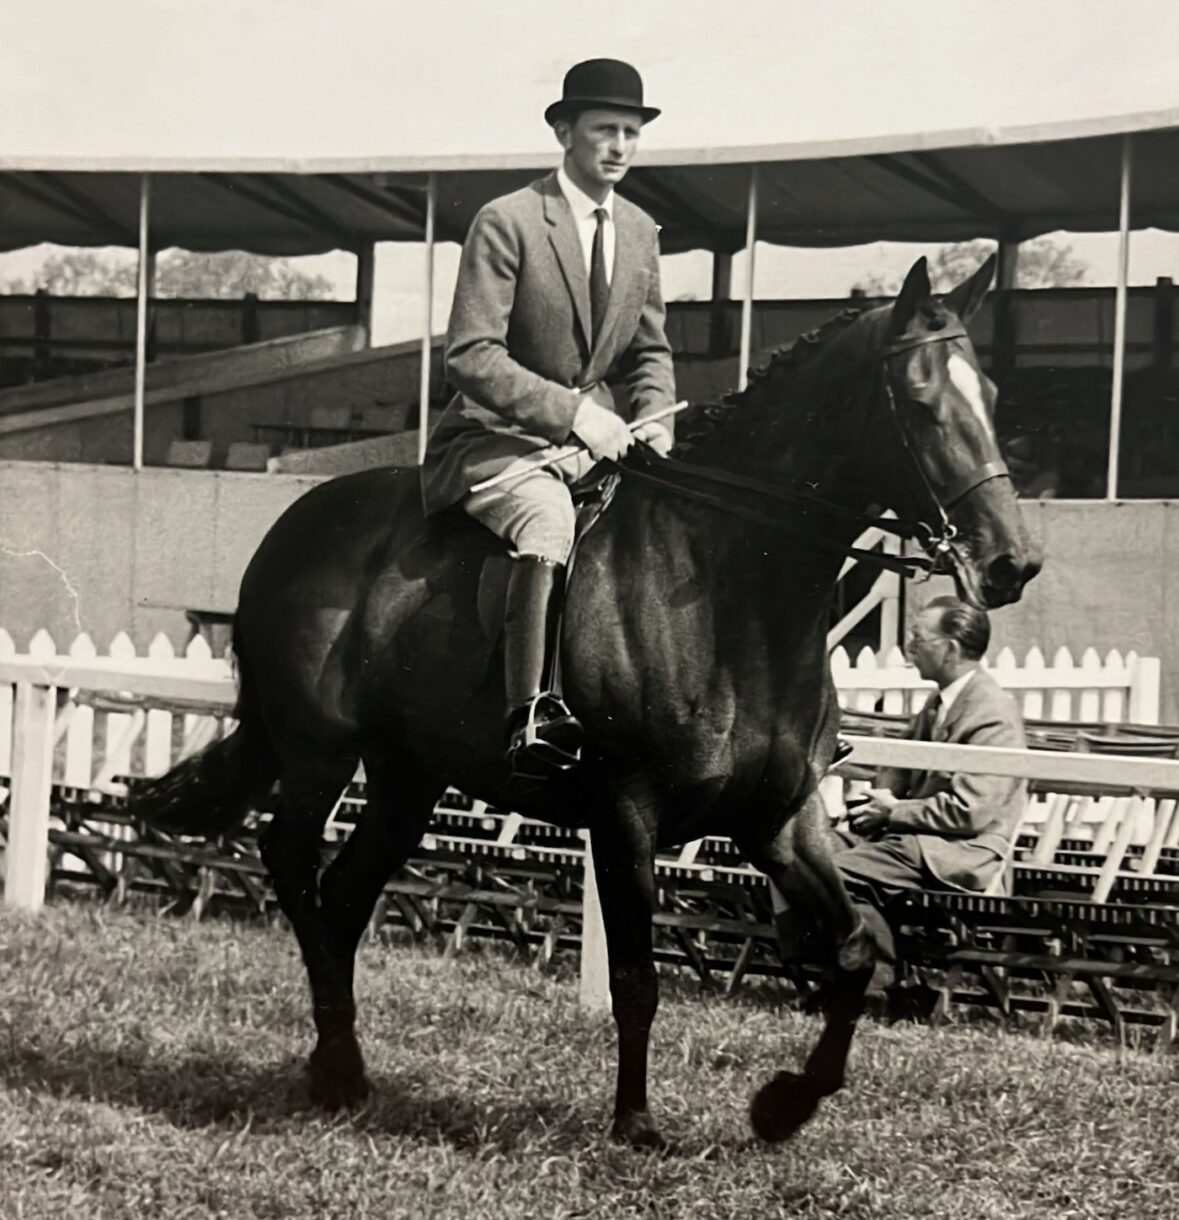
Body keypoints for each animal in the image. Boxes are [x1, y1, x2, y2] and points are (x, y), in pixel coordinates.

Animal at [137, 254, 1041, 1148]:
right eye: (920, 400)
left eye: (996, 397)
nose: (1011, 564)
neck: (728, 586)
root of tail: (295, 524)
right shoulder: (625, 809)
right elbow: (638, 977)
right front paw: (634, 1123)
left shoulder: (779, 816)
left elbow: (853, 950)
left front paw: (782, 1106)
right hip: (318, 750)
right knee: (291, 863)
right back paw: (332, 1065)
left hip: (406, 777)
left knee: (345, 893)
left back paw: (345, 1071)